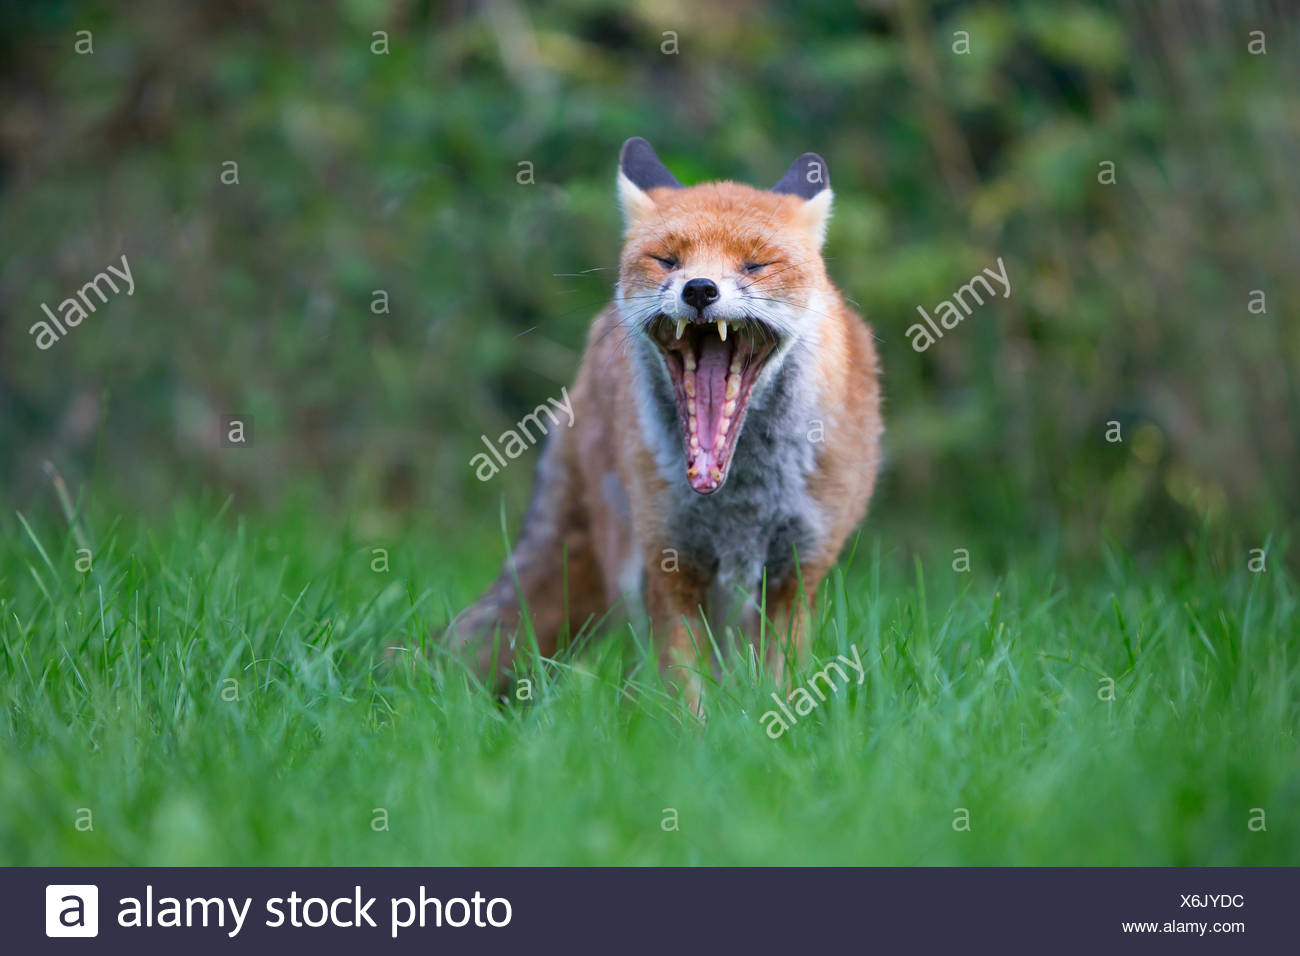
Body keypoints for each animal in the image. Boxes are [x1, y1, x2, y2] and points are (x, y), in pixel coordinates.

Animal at [444, 138, 883, 711]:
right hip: (628, 561)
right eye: (667, 260)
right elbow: (682, 689)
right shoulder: (670, 562)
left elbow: (780, 687)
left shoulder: (797, 571)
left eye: (756, 264)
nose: (699, 289)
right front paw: (691, 733)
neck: (738, 497)